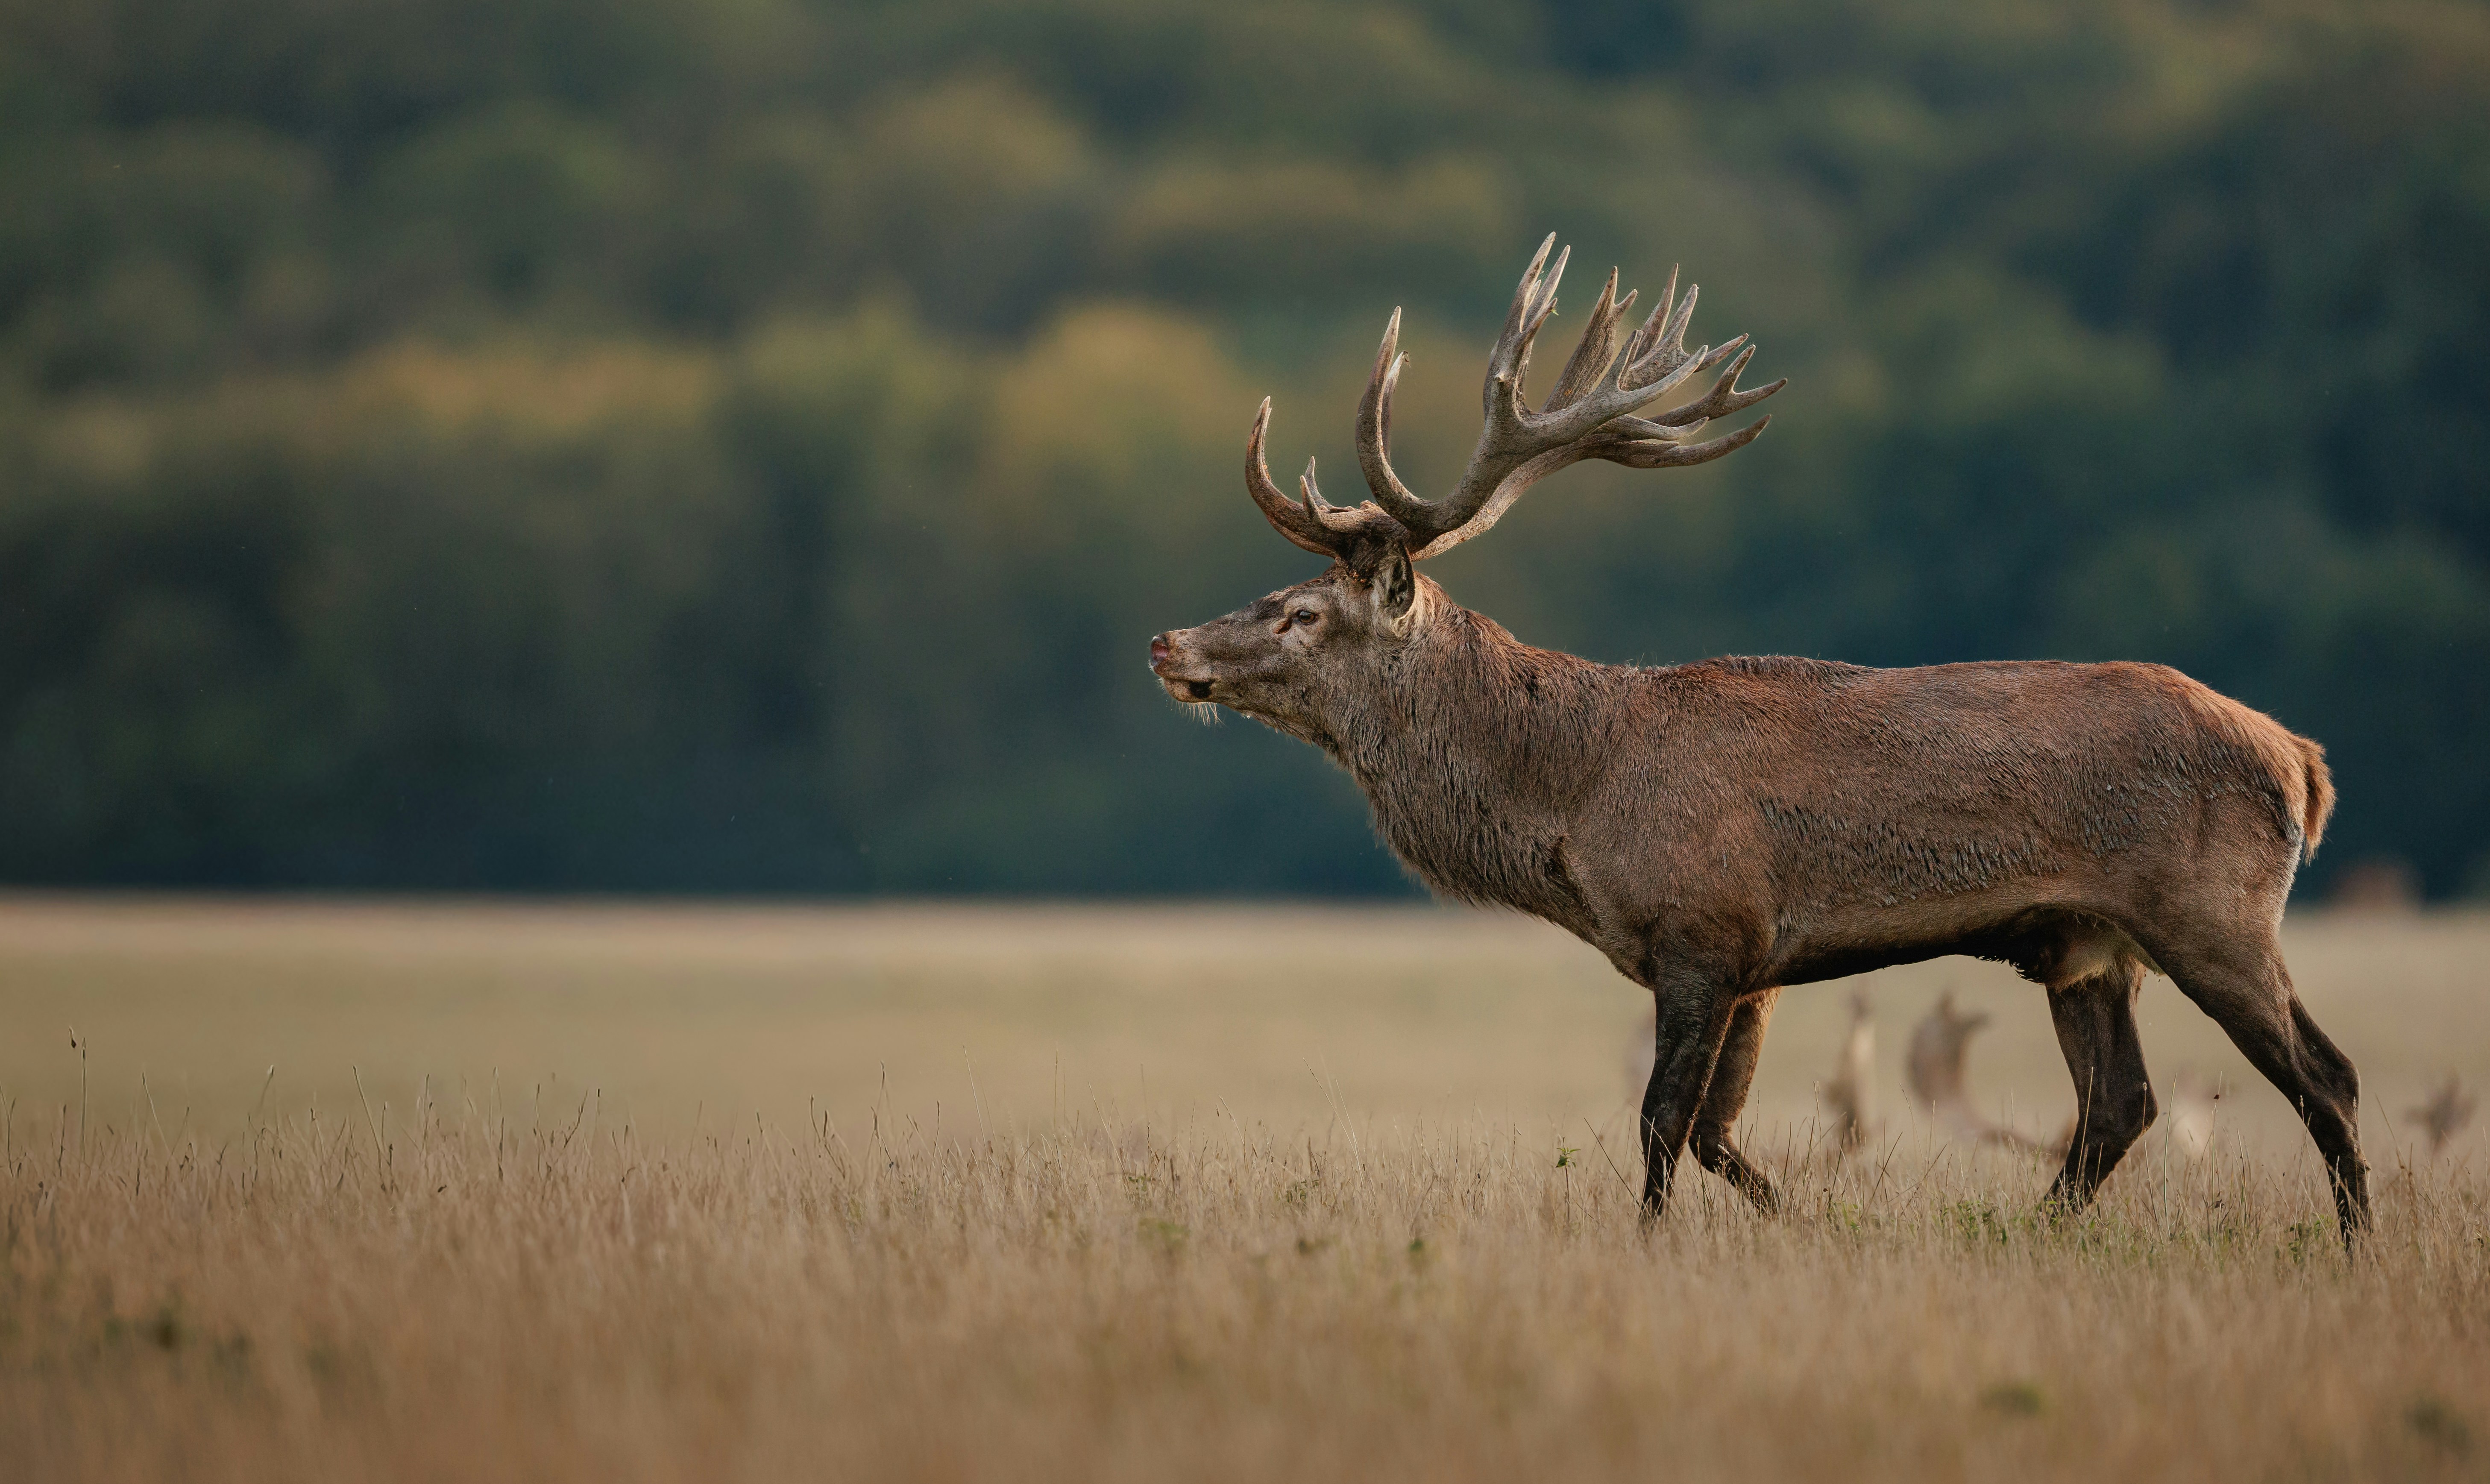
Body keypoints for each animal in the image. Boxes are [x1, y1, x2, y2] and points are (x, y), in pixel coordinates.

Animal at [1147, 235, 2368, 1245]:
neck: (1573, 796)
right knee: (2121, 1104)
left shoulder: (1702, 928)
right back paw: (2034, 1233)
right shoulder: (1756, 965)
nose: (1165, 642)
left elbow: (1658, 1123)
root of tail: (2302, 765)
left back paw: (2358, 1247)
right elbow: (1713, 1132)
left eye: (1303, 613)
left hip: (2208, 909)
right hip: (2084, 944)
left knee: (2325, 1077)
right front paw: (1811, 1227)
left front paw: (1653, 1249)